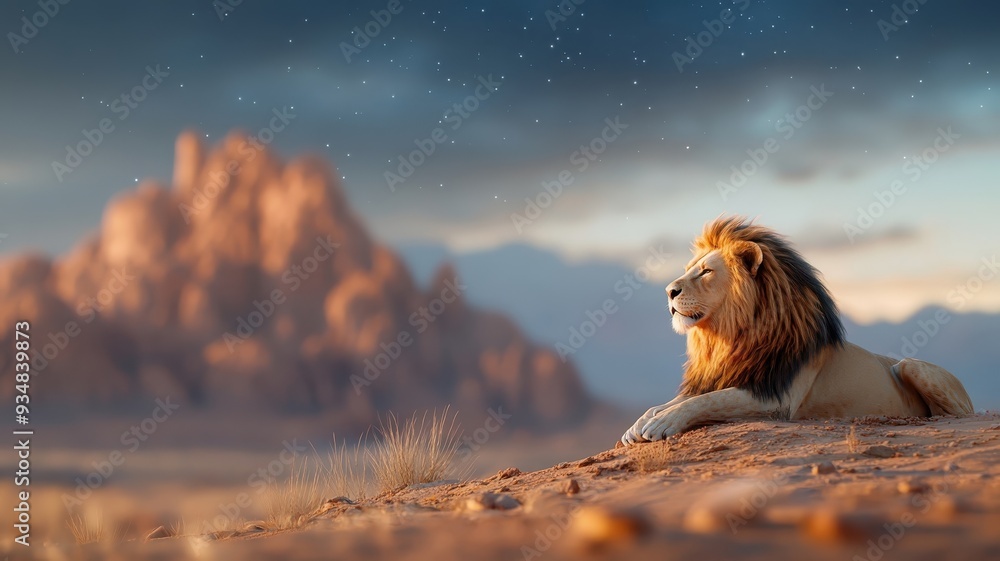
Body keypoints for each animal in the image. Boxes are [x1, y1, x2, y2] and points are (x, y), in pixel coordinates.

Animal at [621, 216, 973, 446]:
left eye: (706, 271)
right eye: (688, 270)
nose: (668, 291)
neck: (730, 338)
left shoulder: (777, 398)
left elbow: (708, 401)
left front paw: (662, 424)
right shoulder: (727, 375)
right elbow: (675, 400)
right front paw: (638, 424)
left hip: (912, 366)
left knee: (955, 414)